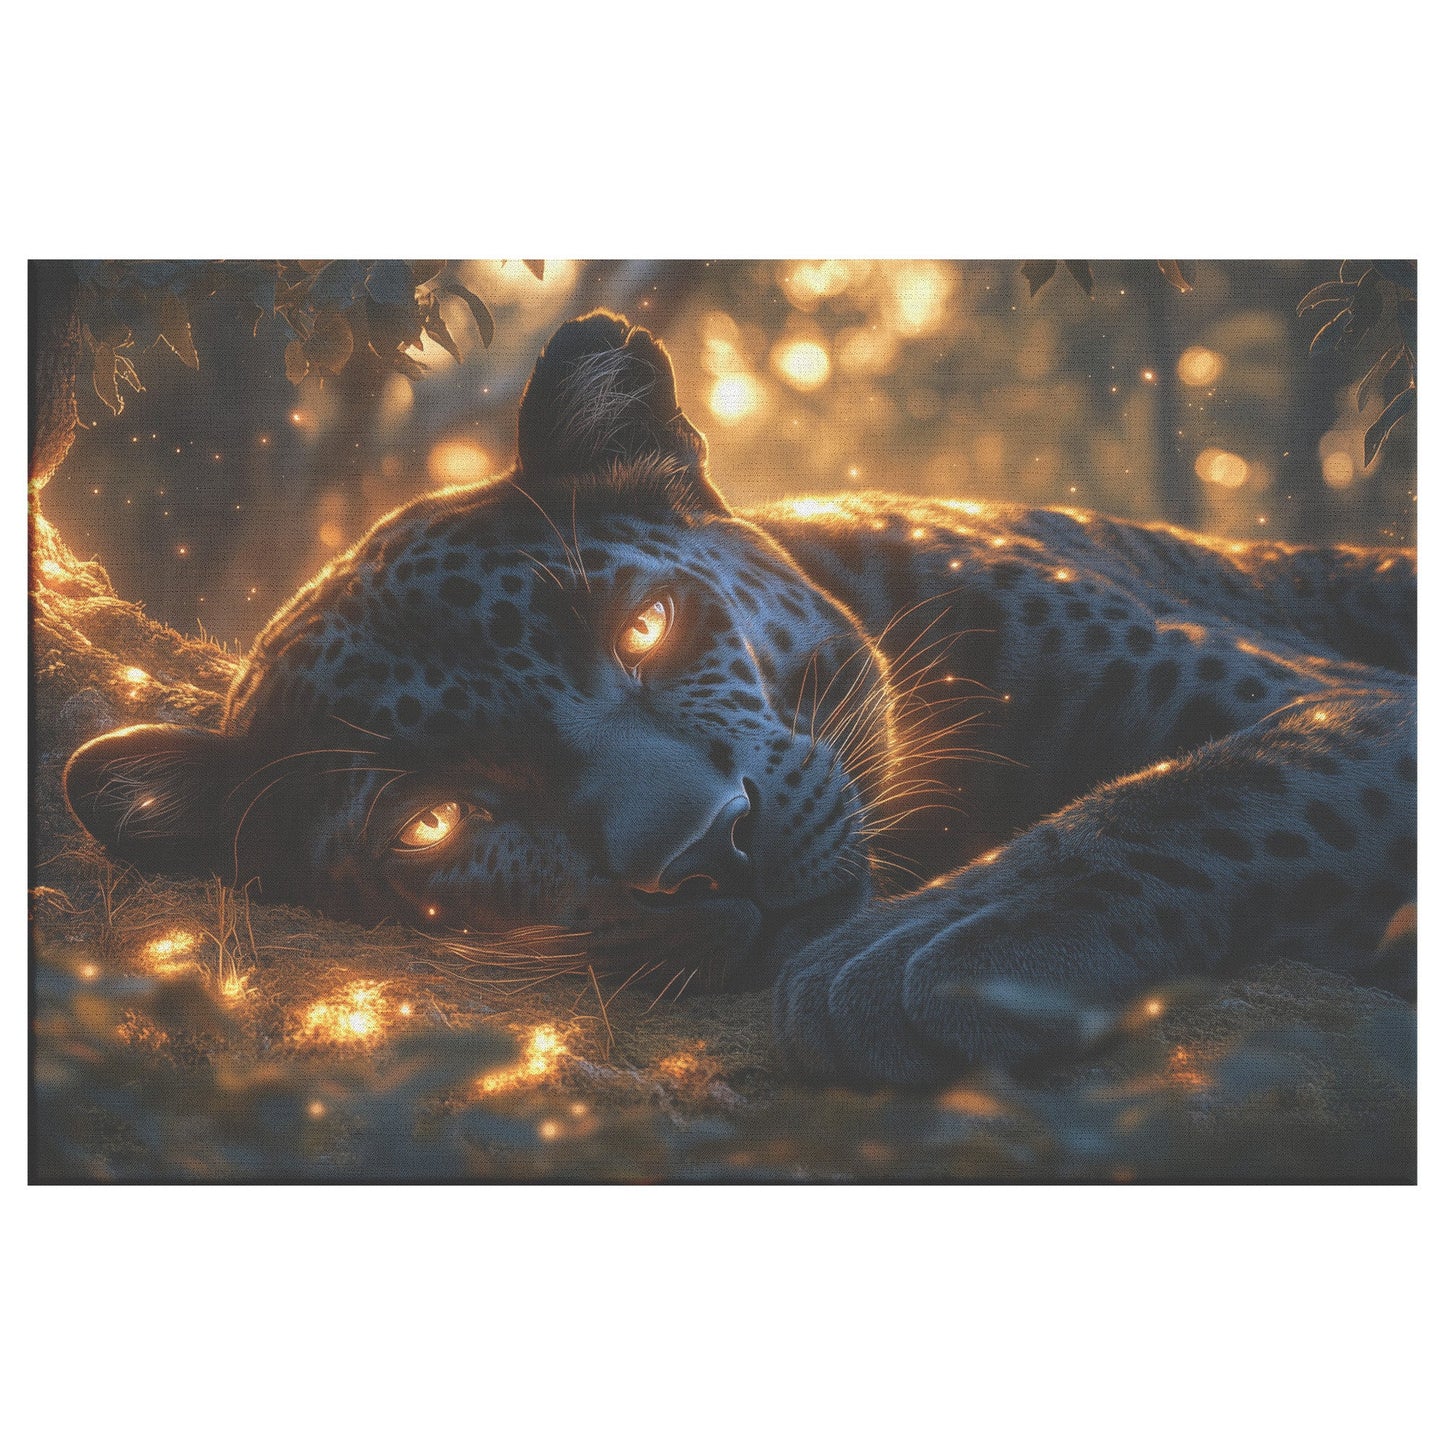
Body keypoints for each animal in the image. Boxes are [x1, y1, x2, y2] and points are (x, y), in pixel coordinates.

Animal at [65, 310, 1417, 1086]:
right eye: (436, 823)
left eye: (642, 628)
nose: (710, 849)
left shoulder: (1348, 701)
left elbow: (1218, 784)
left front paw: (925, 947)